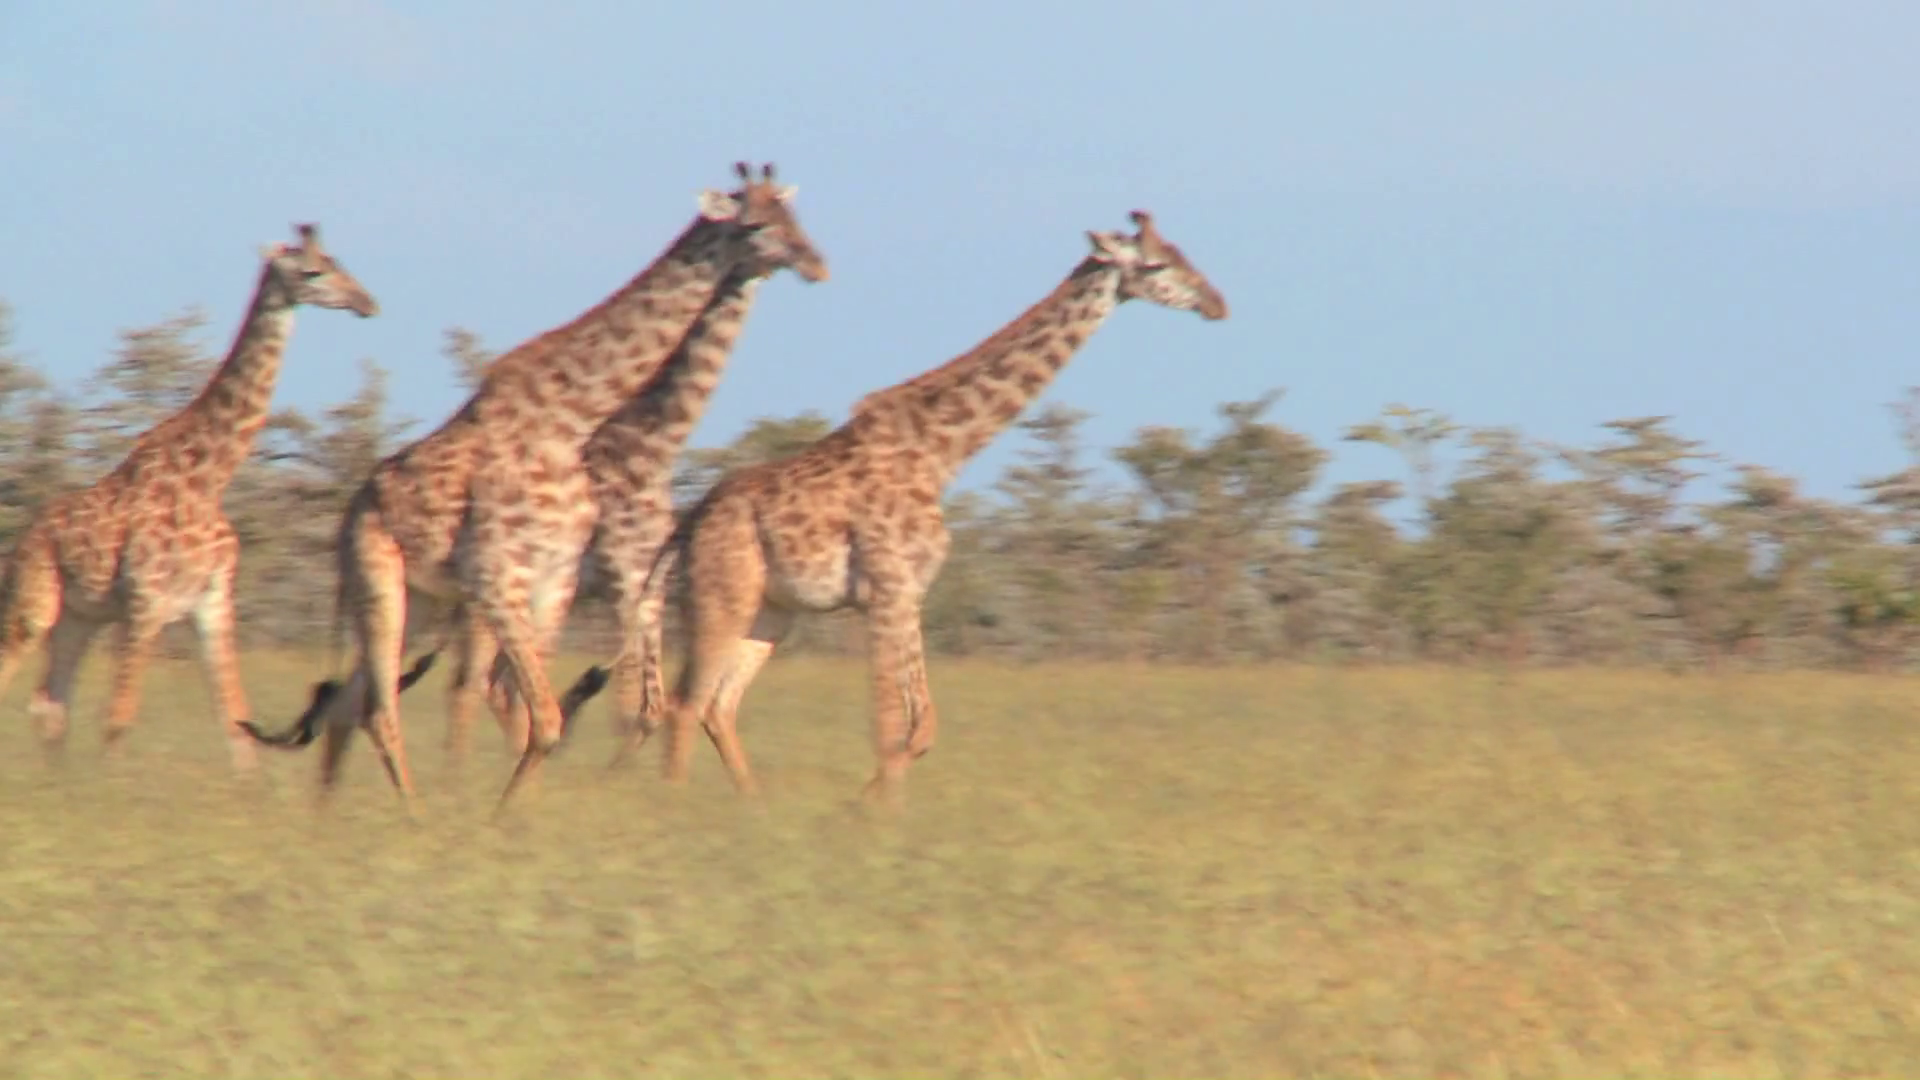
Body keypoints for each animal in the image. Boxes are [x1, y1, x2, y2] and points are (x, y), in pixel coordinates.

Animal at [0, 225, 378, 767]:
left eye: (337, 261)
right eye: (312, 271)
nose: (367, 303)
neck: (209, 478)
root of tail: (21, 541)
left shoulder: (212, 602)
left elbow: (235, 720)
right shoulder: (145, 601)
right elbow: (118, 718)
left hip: (79, 616)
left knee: (50, 703)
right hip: (33, 602)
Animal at [239, 163, 828, 817]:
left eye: (795, 216)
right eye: (755, 225)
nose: (816, 264)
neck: (573, 422)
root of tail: (352, 509)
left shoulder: (562, 581)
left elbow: (554, 718)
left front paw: (524, 816)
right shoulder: (513, 578)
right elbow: (558, 715)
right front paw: (506, 816)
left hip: (427, 600)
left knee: (352, 700)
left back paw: (326, 816)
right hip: (383, 582)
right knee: (387, 704)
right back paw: (416, 811)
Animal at [562, 210, 1228, 803]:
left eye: (1181, 251)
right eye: (1156, 263)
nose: (1216, 303)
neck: (941, 452)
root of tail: (688, 525)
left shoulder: (911, 591)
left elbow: (922, 726)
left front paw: (874, 803)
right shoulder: (885, 587)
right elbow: (890, 725)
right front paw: (877, 815)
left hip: (773, 612)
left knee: (719, 706)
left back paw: (753, 804)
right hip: (724, 597)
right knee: (685, 703)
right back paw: (678, 806)